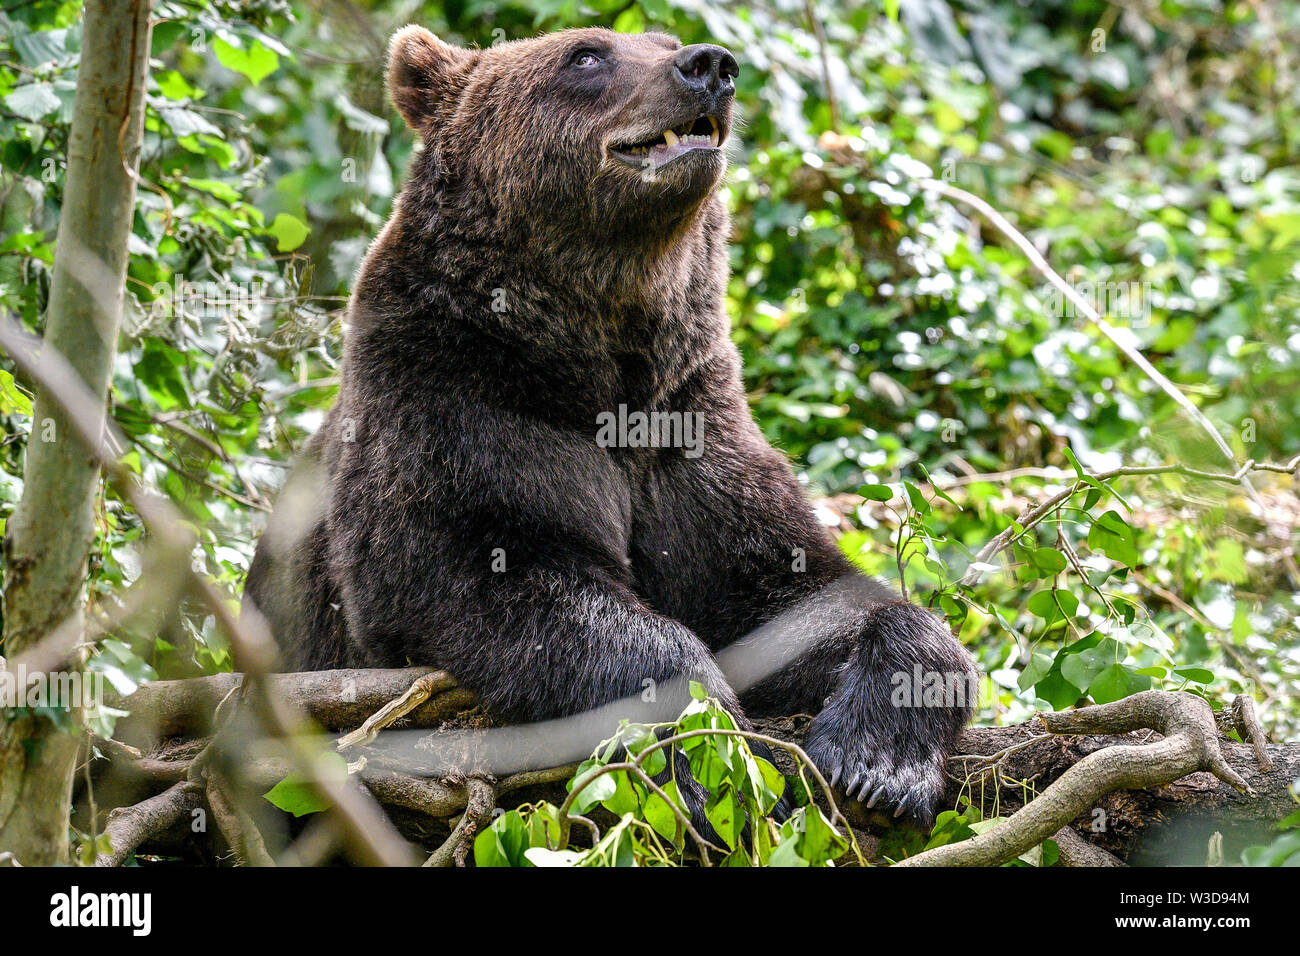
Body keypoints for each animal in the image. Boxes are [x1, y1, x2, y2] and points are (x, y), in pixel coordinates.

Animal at [243, 25, 977, 828]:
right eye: (587, 55)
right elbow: (476, 572)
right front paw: (707, 758)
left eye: (663, 38)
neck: (592, 352)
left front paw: (878, 760)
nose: (710, 66)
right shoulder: (452, 401)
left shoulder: (688, 430)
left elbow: (793, 592)